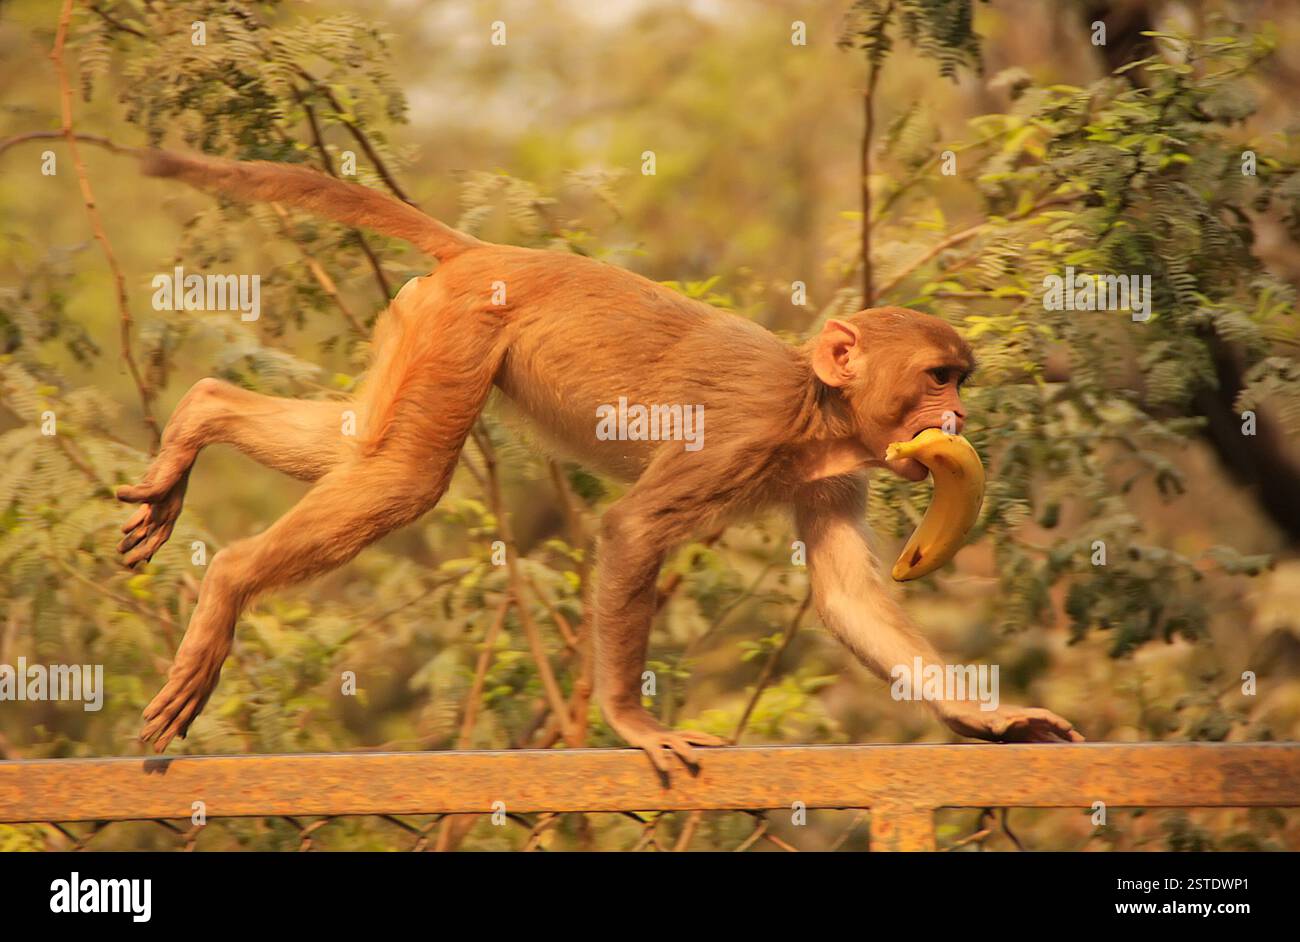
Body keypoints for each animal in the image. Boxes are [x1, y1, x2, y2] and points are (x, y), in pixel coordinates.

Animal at [119, 150, 1083, 768]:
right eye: (935, 378)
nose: (958, 415)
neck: (816, 412)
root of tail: (485, 252)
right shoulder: (743, 437)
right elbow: (631, 531)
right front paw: (634, 723)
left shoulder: (837, 471)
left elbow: (847, 597)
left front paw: (991, 716)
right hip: (462, 329)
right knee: (404, 478)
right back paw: (231, 580)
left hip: (422, 323)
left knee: (360, 445)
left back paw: (200, 417)